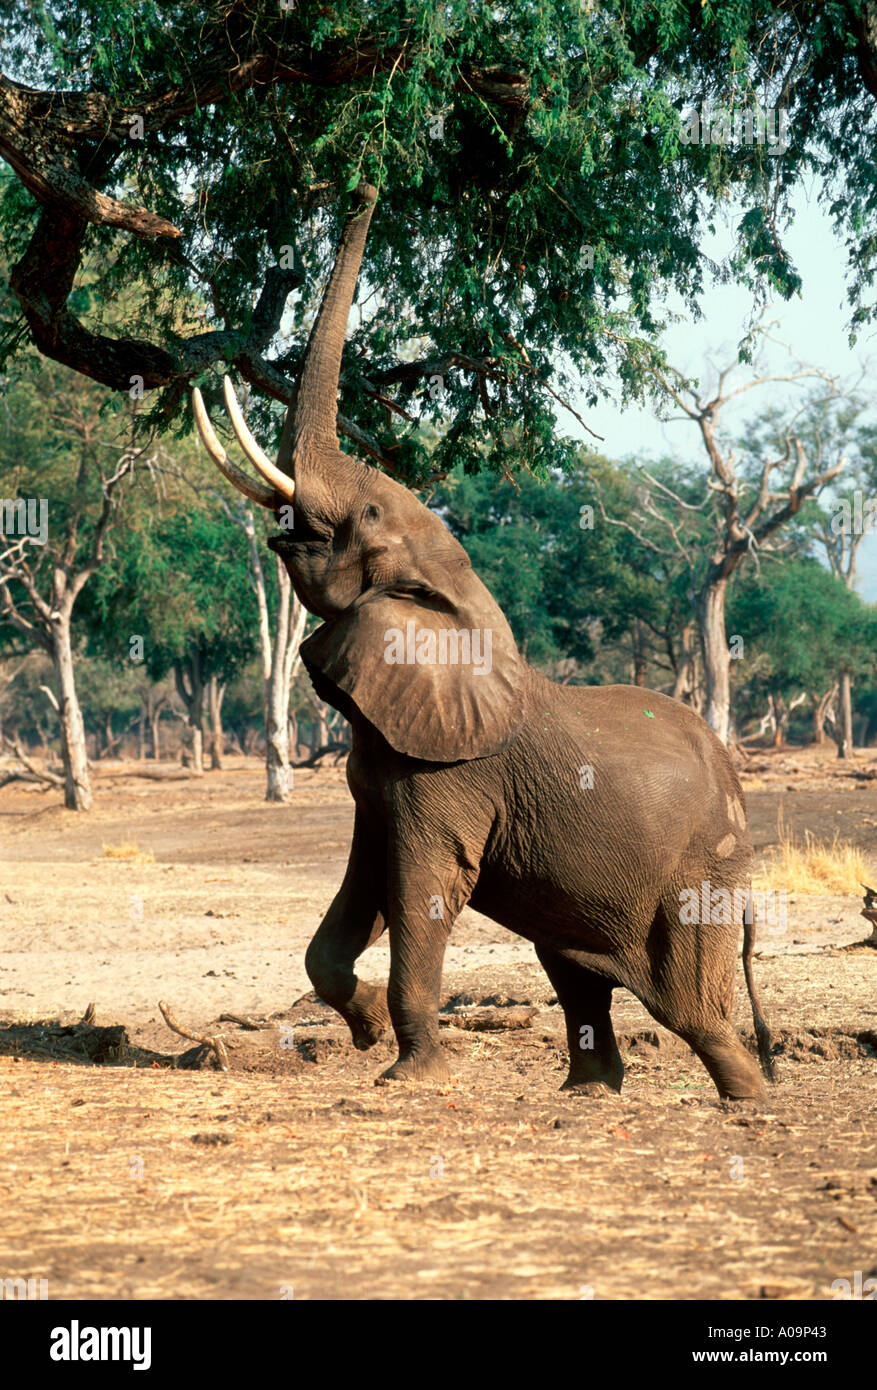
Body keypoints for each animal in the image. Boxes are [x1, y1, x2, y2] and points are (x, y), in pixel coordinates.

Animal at [192, 182, 775, 1100]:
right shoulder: (384, 770)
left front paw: (408, 1077)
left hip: (704, 866)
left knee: (692, 1002)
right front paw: (364, 1030)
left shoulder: (451, 779)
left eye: (366, 515)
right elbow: (362, 889)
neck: (455, 597)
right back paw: (587, 1095)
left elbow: (423, 887)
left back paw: (744, 1101)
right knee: (576, 973)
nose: (366, 183)